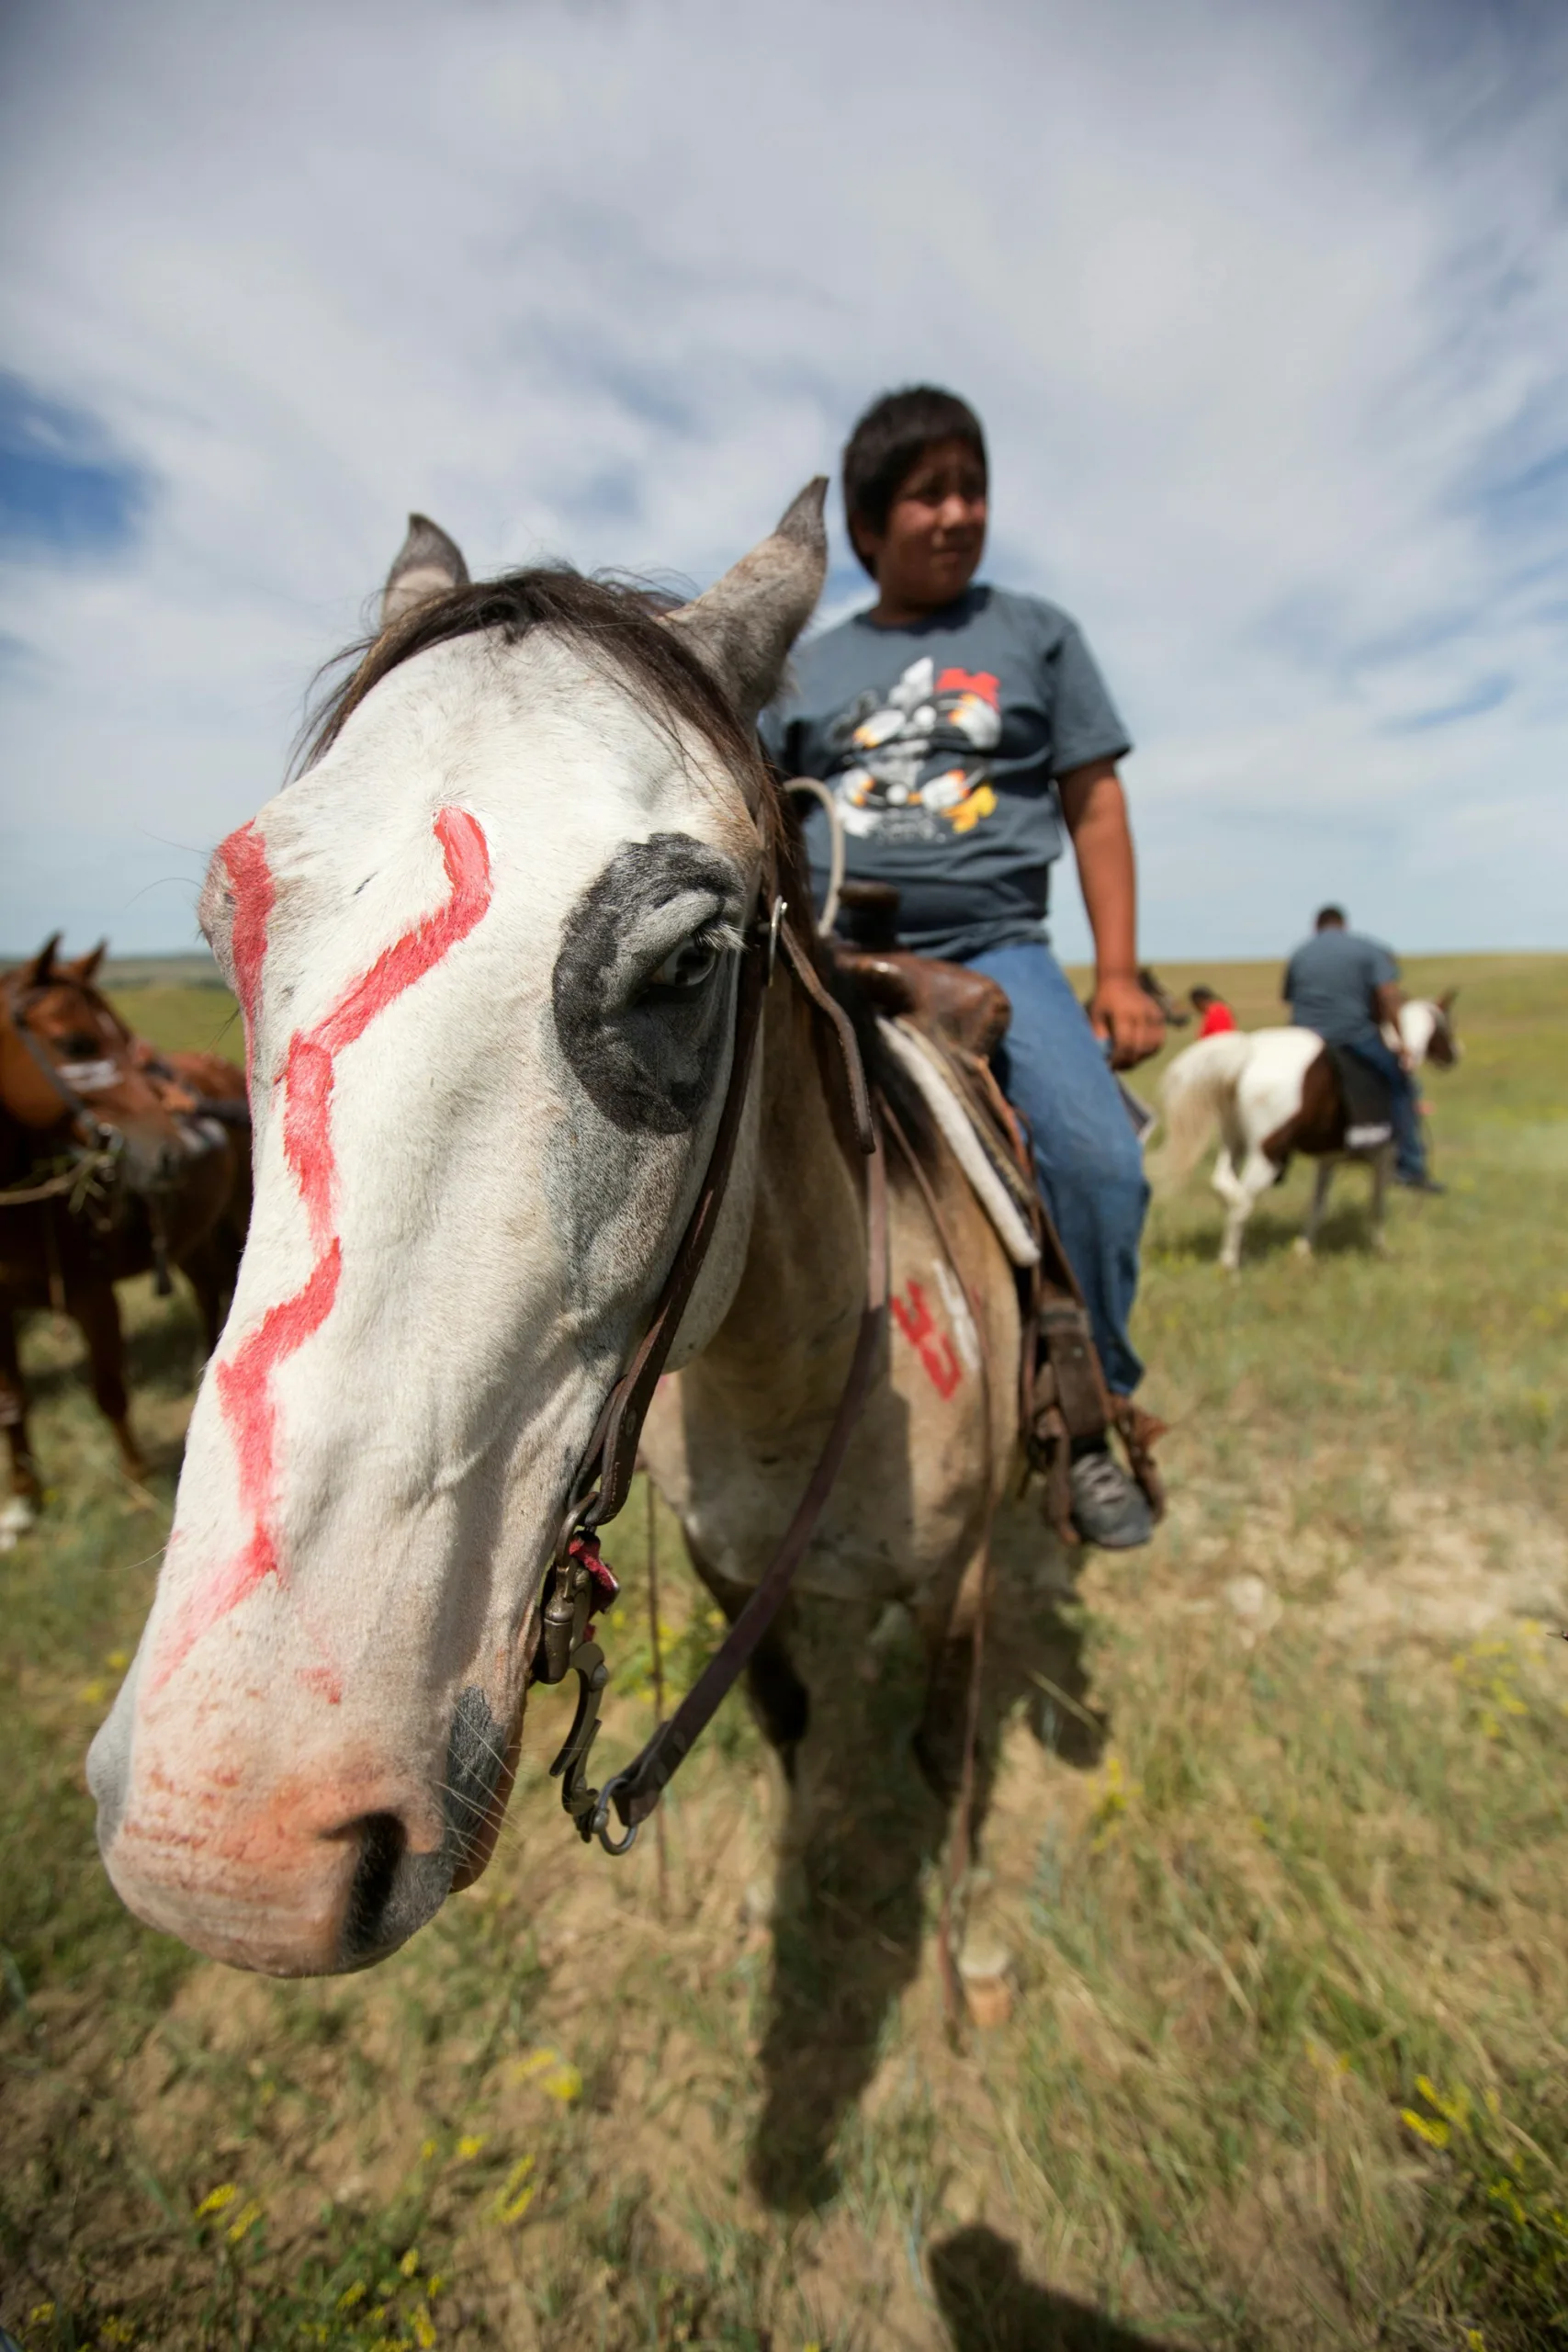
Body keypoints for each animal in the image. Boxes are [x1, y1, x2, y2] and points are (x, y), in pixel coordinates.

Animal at [2, 926, 251, 1514]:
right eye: (77, 1043)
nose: (171, 1153)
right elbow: (13, 1402)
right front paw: (23, 1499)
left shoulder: (93, 1294)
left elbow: (110, 1391)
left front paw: (137, 1484)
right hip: (194, 1237)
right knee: (207, 1289)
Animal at [95, 501, 1029, 1984]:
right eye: (224, 928)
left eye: (691, 961)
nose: (229, 1849)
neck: (801, 1388)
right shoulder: (727, 1580)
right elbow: (791, 1726)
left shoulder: (965, 1585)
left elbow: (947, 1756)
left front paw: (965, 1949)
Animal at [1152, 1001, 1457, 1279]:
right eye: (1444, 1026)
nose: (1455, 1054)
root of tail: (1249, 1052)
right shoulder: (1384, 1156)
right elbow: (1377, 1206)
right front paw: (1380, 1249)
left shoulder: (1328, 1160)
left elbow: (1317, 1206)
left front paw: (1302, 1249)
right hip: (1266, 1155)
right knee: (1242, 1201)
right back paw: (1230, 1262)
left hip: (1235, 1144)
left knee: (1224, 1185)